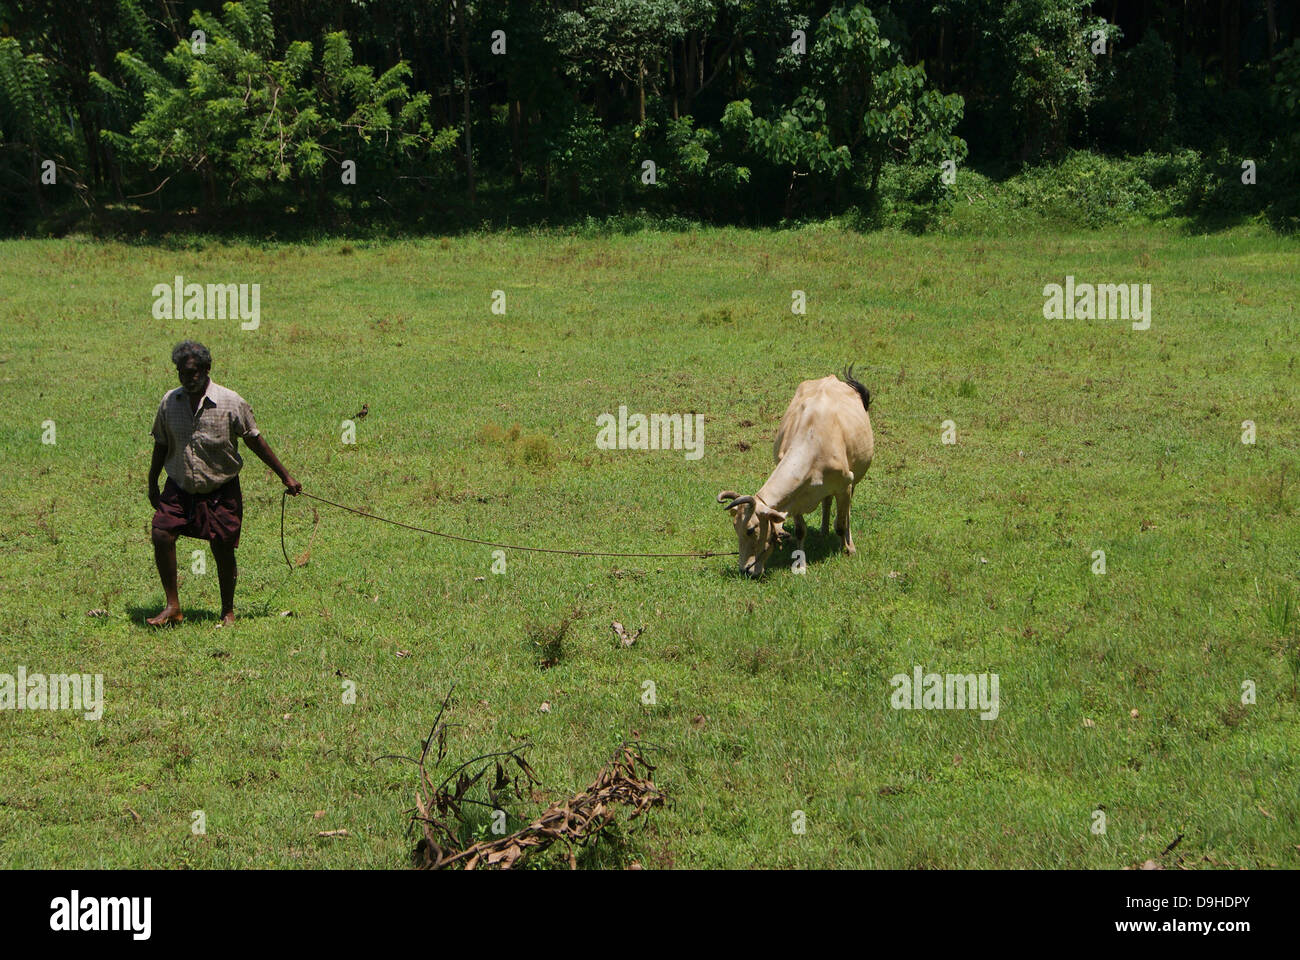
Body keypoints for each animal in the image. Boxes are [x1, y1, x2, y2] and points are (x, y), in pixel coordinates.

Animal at [718, 367, 874, 578]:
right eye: (735, 526)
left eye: (750, 529)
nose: (745, 570)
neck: (814, 439)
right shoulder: (795, 497)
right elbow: (801, 530)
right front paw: (800, 563)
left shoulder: (844, 485)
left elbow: (841, 524)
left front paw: (848, 549)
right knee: (826, 501)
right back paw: (823, 530)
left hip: (854, 480)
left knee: (845, 512)